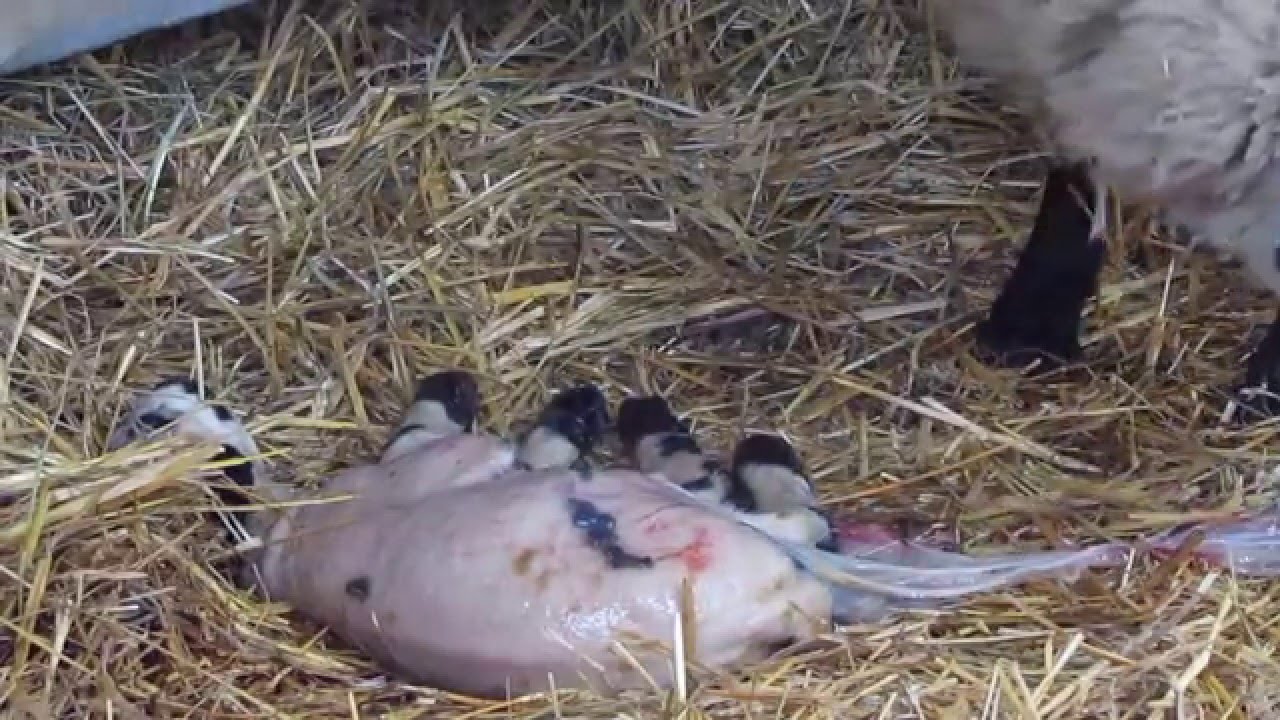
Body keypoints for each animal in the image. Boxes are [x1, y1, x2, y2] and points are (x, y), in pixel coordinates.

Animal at [108, 371, 1126, 698]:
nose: (154, 396)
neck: (277, 534)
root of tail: (790, 588)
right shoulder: (451, 458)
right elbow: (488, 436)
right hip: (707, 518)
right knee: (791, 509)